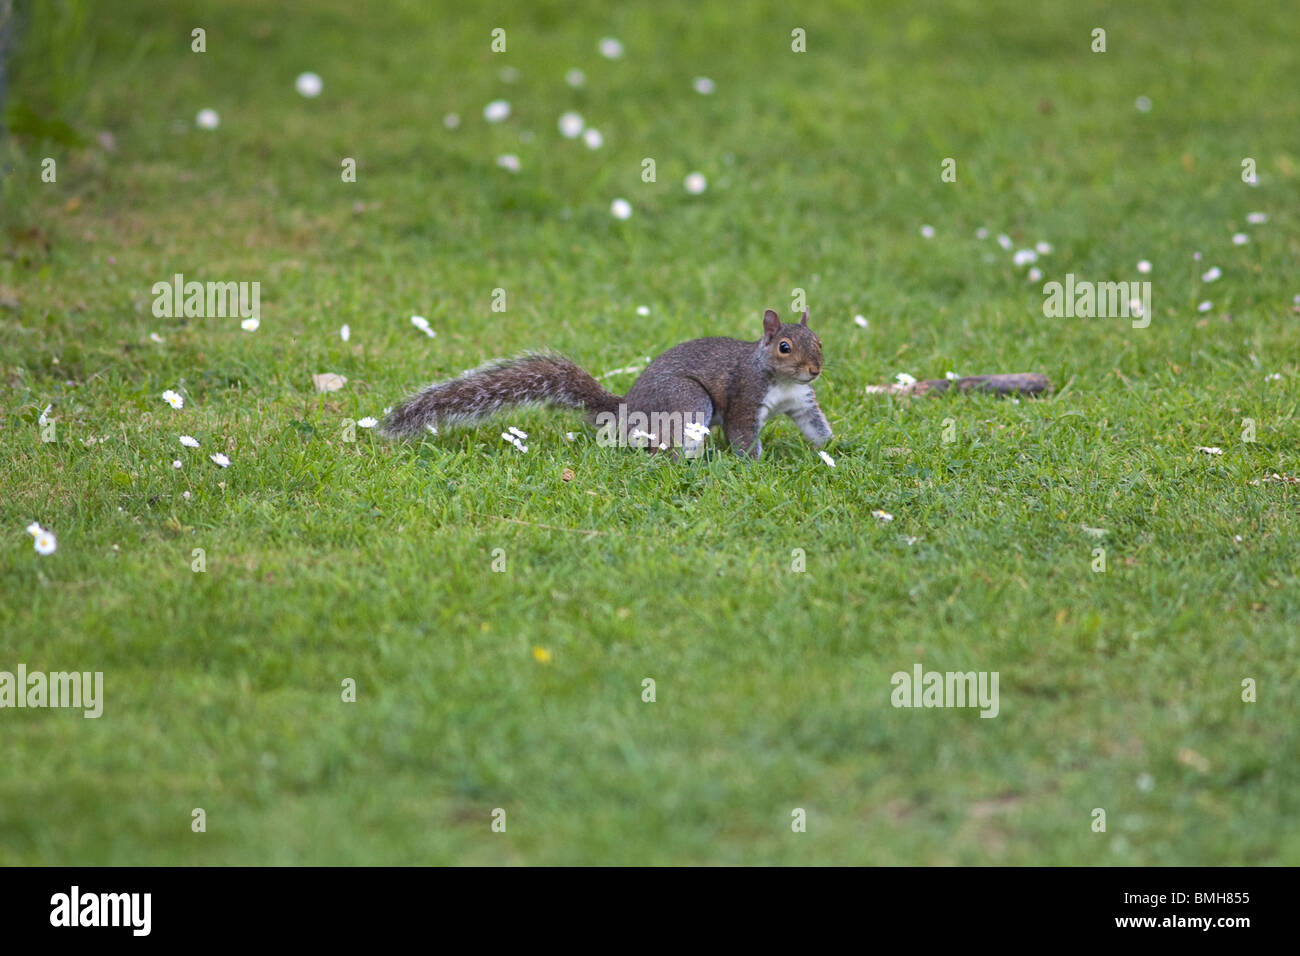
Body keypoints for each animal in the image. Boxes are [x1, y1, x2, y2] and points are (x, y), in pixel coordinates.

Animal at [379, 308, 831, 459]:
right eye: (785, 347)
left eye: (820, 341)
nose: (814, 370)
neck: (781, 382)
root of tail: (627, 409)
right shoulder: (744, 397)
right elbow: (741, 434)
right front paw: (754, 466)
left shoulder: (802, 401)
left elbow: (815, 425)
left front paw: (835, 448)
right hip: (688, 402)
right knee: (663, 449)